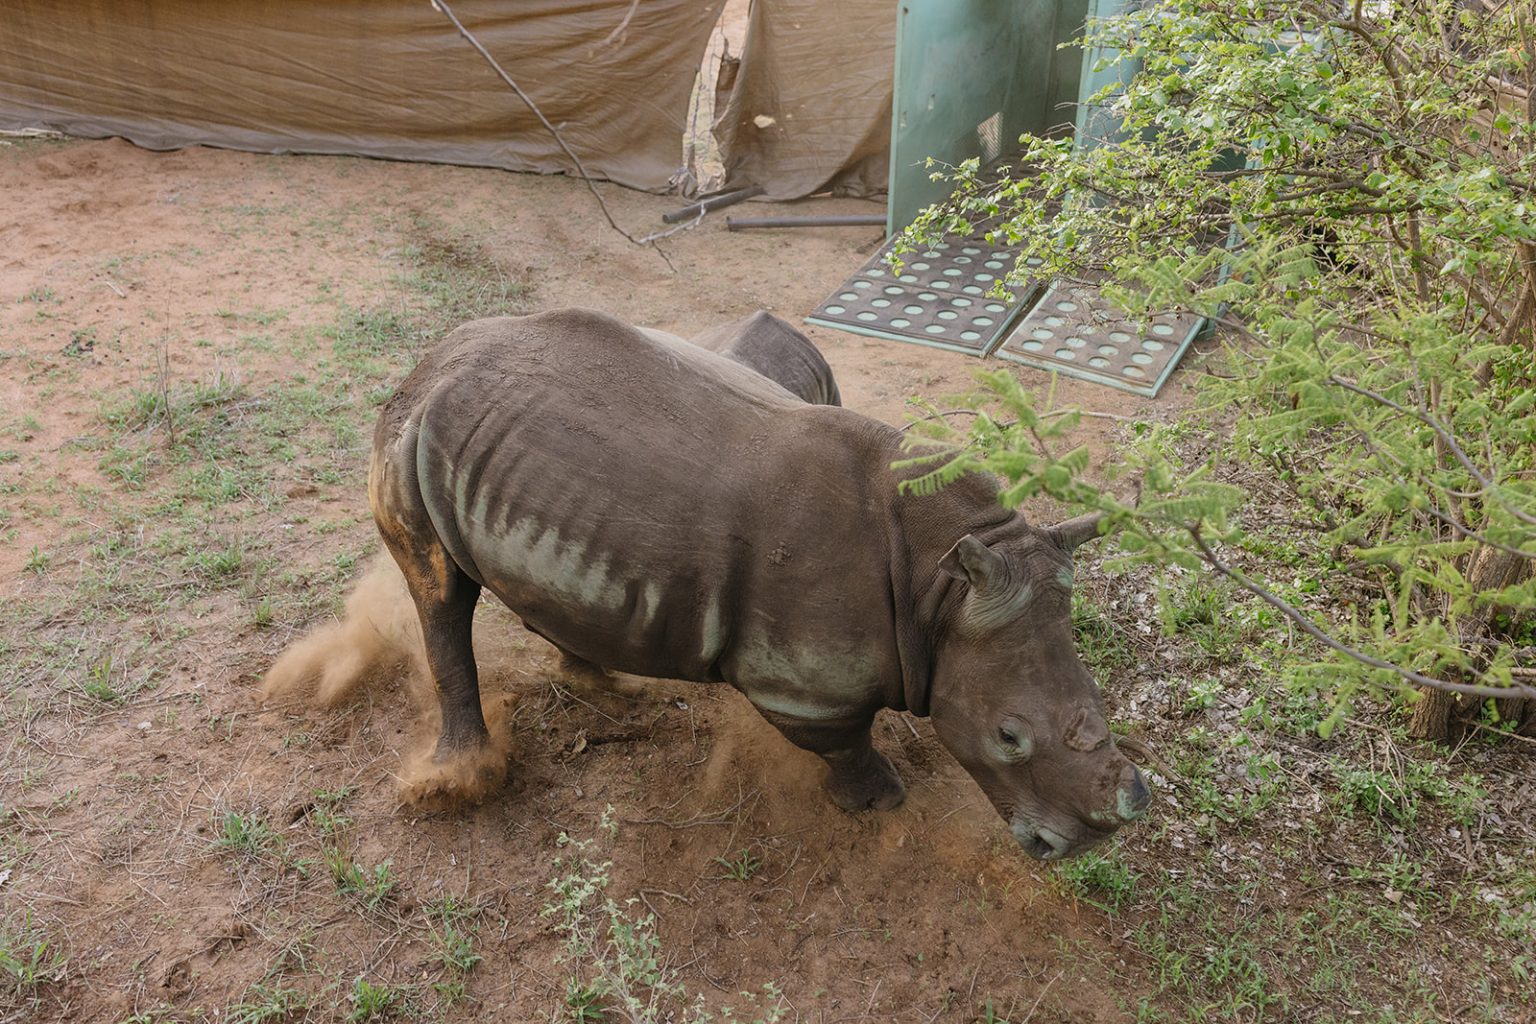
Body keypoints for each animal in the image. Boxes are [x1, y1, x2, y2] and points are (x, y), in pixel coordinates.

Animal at [368, 308, 1150, 860]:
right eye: (1008, 736)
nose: (1078, 846)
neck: (939, 590)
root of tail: (428, 363)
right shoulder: (804, 690)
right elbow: (846, 740)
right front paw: (880, 803)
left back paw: (601, 682)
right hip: (407, 437)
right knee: (439, 592)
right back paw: (460, 778)